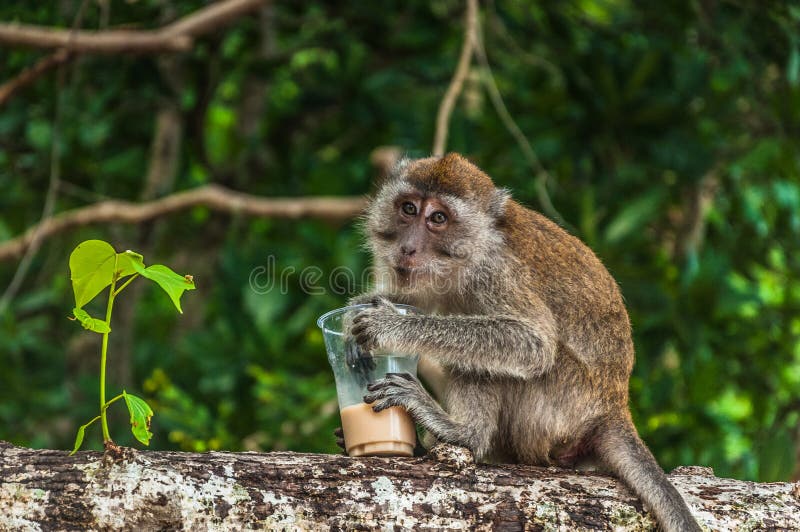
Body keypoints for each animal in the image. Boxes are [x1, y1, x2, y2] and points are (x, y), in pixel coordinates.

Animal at [345, 153, 701, 532]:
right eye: (408, 208)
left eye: (438, 218)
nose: (407, 247)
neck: (465, 257)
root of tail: (612, 406)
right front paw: (354, 315)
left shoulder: (496, 272)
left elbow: (532, 344)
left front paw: (391, 325)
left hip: (558, 404)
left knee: (487, 360)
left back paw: (463, 432)